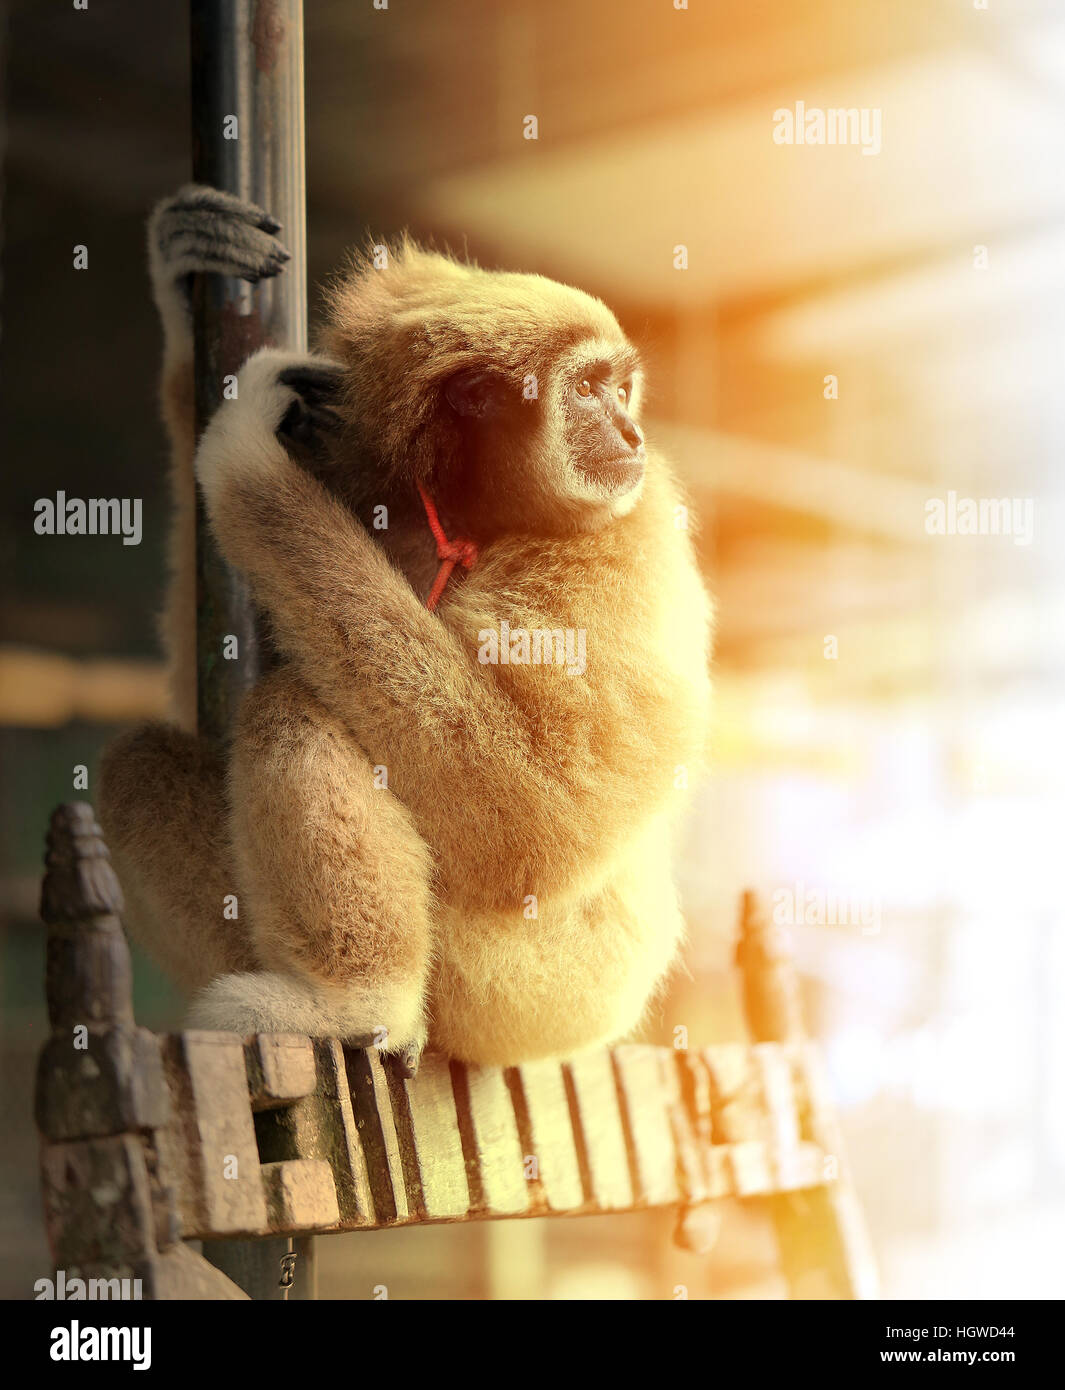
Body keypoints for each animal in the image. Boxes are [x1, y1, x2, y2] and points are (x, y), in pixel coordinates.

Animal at [97, 184, 712, 1070]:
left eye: (619, 390)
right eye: (592, 389)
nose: (630, 433)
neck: (474, 514)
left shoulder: (627, 541)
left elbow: (536, 825)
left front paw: (244, 462)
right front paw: (183, 293)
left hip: (530, 987)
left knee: (296, 706)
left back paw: (356, 1002)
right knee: (139, 760)